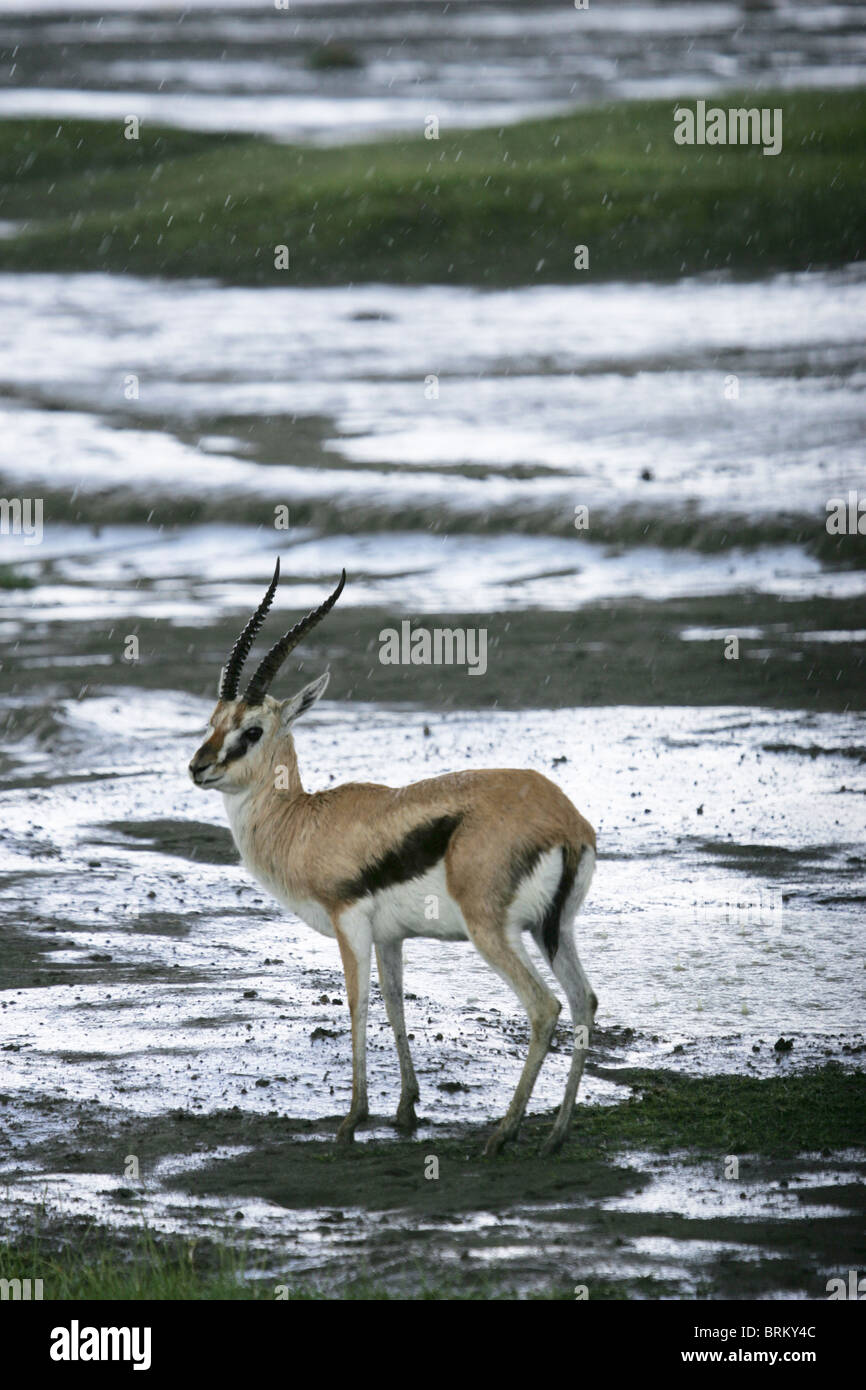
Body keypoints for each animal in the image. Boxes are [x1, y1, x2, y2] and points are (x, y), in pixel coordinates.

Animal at [189, 560, 597, 1155]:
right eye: (213, 720)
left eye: (252, 730)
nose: (198, 767)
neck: (306, 822)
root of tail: (566, 823)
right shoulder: (390, 937)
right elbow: (395, 1003)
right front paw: (405, 1109)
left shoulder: (349, 924)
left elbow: (357, 1005)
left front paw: (352, 1118)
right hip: (556, 929)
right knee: (585, 1001)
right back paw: (557, 1136)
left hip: (493, 931)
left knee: (545, 1007)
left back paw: (503, 1134)